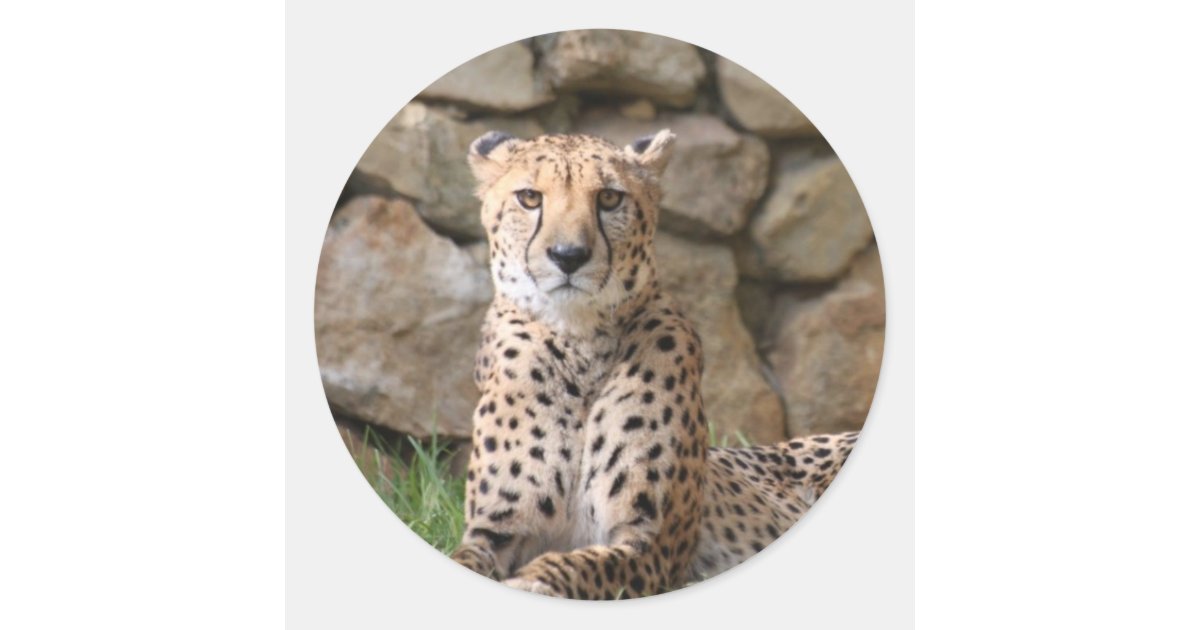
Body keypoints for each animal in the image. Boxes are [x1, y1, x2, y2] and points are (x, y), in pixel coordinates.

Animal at [448, 127, 860, 599]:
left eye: (609, 198)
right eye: (530, 197)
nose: (569, 255)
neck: (579, 340)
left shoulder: (652, 542)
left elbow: (577, 566)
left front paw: (534, 581)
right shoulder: (495, 531)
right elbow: (462, 559)